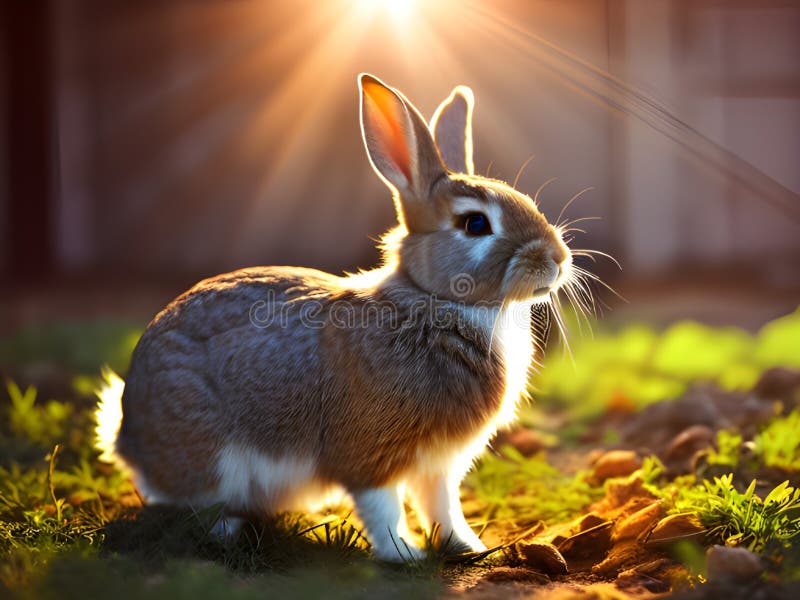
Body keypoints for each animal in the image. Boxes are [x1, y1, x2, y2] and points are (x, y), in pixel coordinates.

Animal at [96, 73, 572, 562]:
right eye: (475, 224)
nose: (556, 259)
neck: (434, 300)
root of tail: (128, 433)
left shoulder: (438, 465)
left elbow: (442, 506)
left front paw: (468, 546)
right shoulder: (369, 454)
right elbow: (383, 508)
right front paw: (405, 555)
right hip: (209, 455)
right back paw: (231, 531)